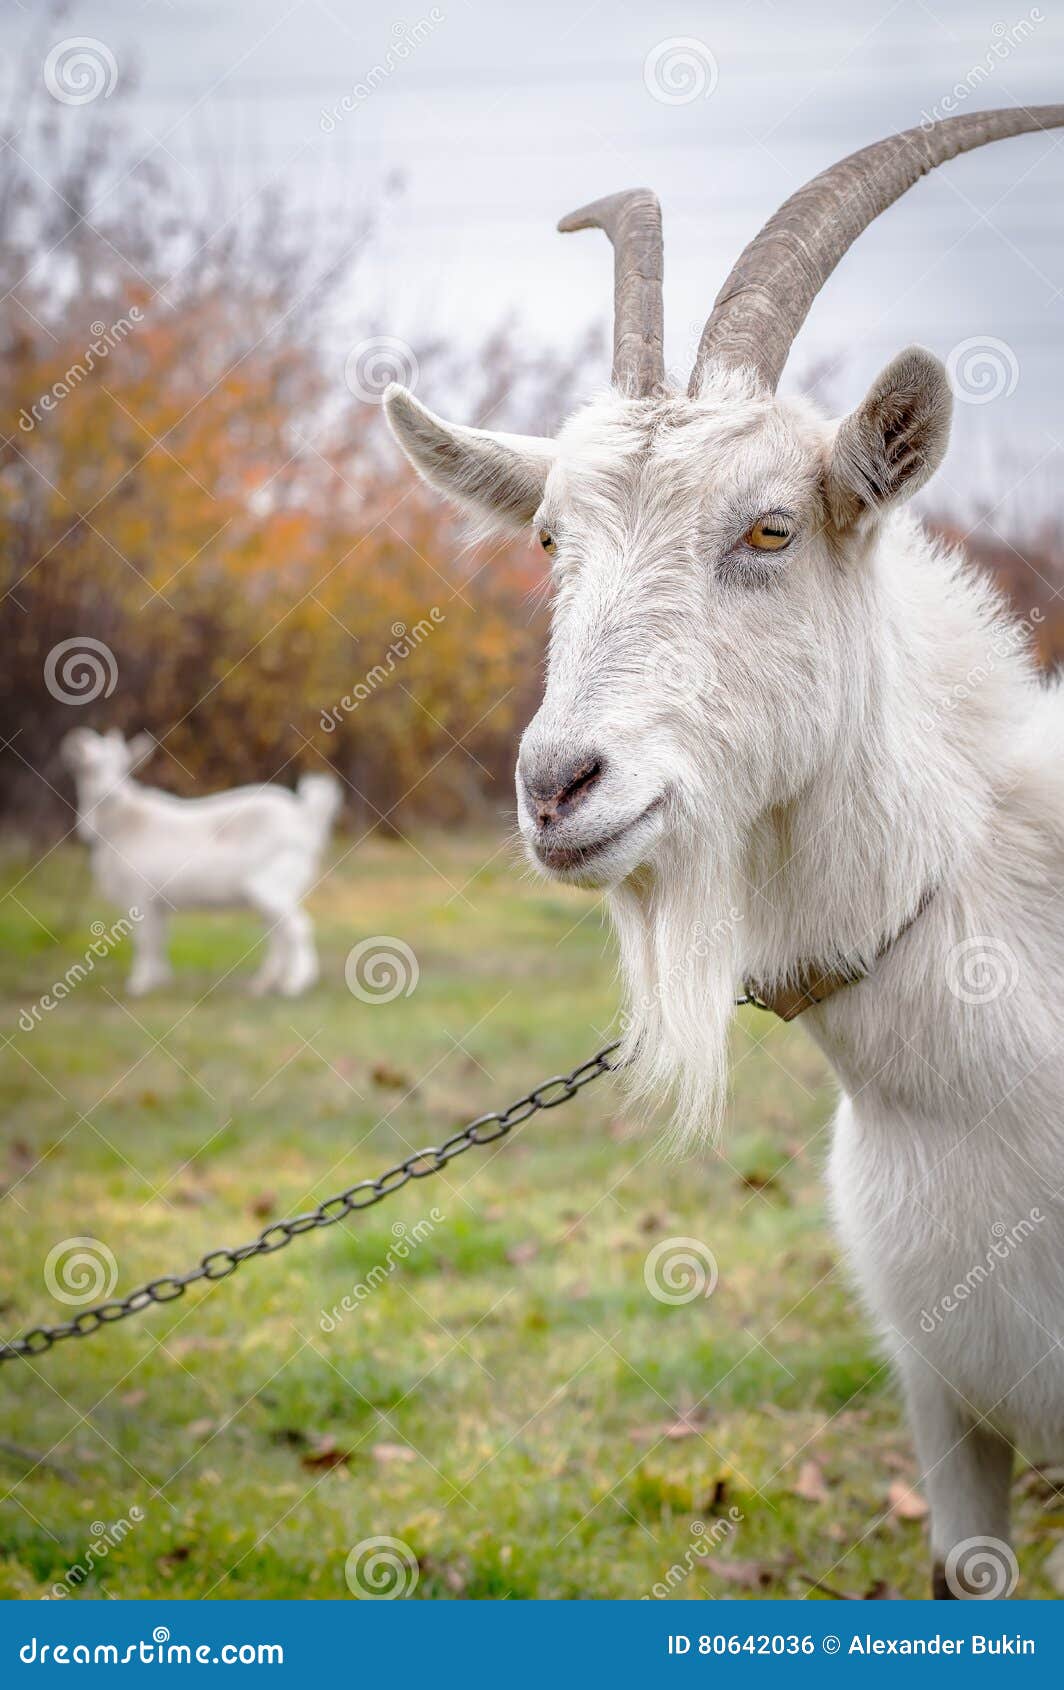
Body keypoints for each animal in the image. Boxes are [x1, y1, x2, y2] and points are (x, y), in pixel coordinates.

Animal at [62, 728, 341, 998]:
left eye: (125, 765)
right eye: (91, 765)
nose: (112, 794)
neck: (123, 824)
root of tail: (305, 816)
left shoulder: (138, 897)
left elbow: (144, 940)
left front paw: (139, 985)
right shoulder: (156, 903)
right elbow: (159, 938)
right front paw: (161, 980)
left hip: (272, 884)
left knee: (298, 928)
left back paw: (295, 984)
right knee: (278, 933)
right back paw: (263, 984)